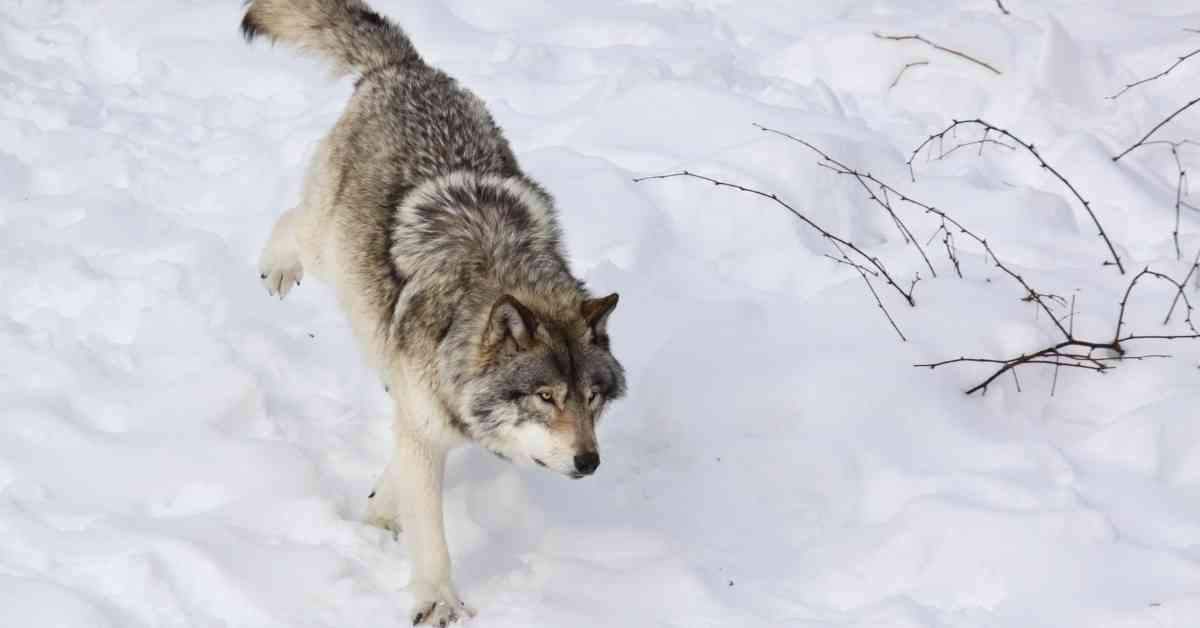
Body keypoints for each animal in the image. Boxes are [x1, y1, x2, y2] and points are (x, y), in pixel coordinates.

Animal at [240, 0, 627, 624]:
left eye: (592, 398)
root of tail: (407, 67)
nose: (589, 461)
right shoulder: (424, 427)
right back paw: (276, 268)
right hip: (327, 248)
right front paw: (438, 601)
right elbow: (432, 535)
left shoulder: (423, 419)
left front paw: (379, 510)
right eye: (546, 397)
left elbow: (398, 473)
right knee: (290, 221)